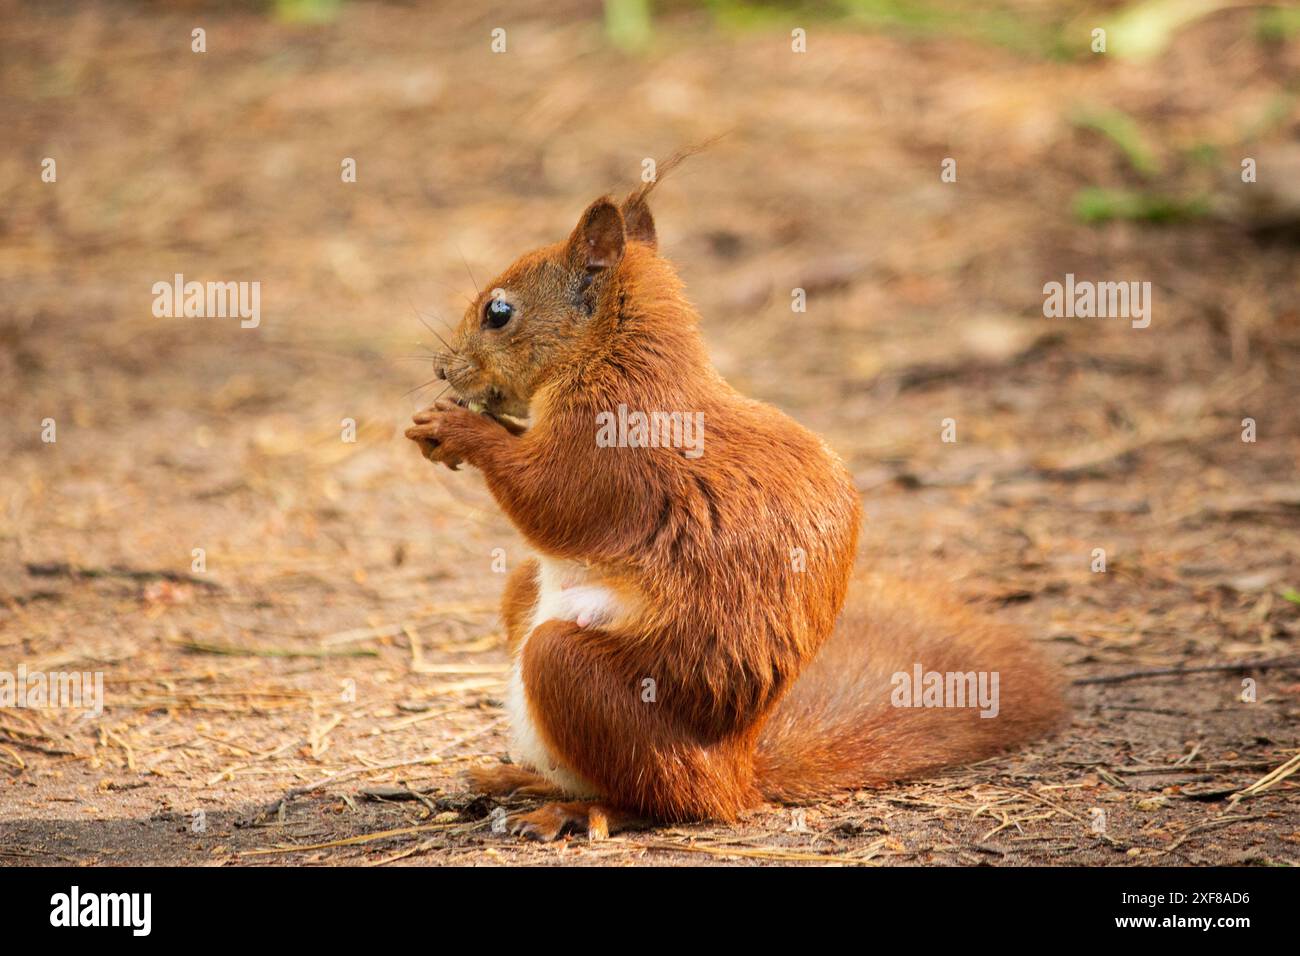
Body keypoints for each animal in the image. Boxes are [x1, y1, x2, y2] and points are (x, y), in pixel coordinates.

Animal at [405, 151, 1065, 841]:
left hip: (585, 683)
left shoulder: (614, 443)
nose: (442, 369)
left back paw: (577, 809)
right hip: (527, 600)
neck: (615, 357)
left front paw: (459, 429)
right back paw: (523, 779)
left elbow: (553, 499)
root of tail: (737, 777)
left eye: (498, 313)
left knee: (653, 798)